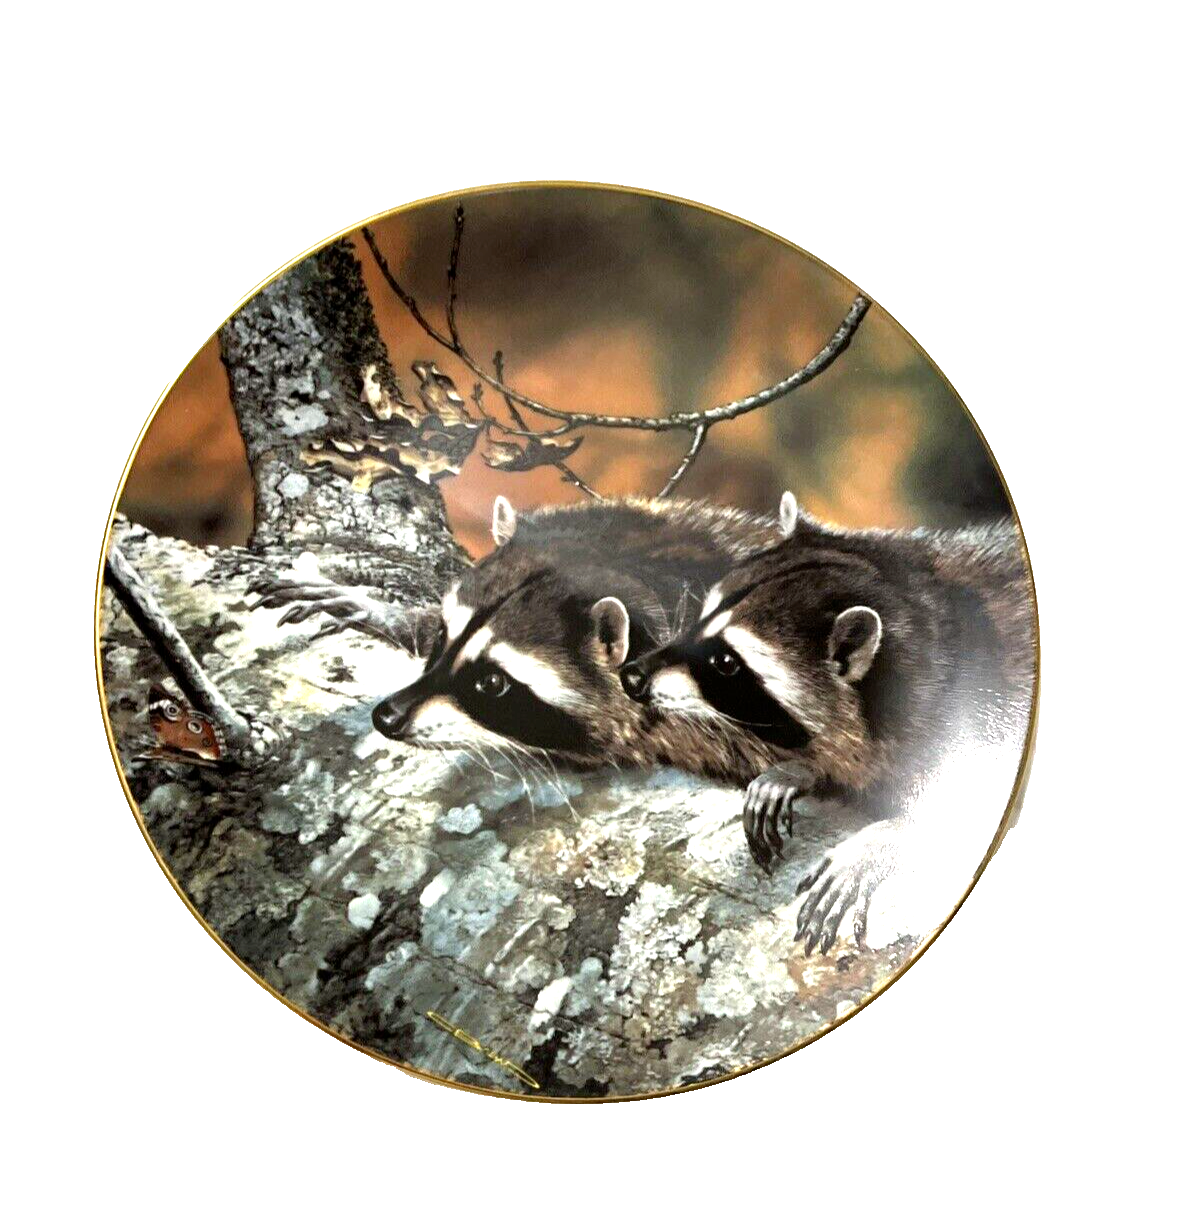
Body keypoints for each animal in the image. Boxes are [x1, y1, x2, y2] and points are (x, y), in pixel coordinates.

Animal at [620, 491, 1035, 892]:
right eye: (703, 613)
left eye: (725, 662)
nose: (632, 676)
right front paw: (800, 768)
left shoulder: (985, 714)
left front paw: (885, 839)